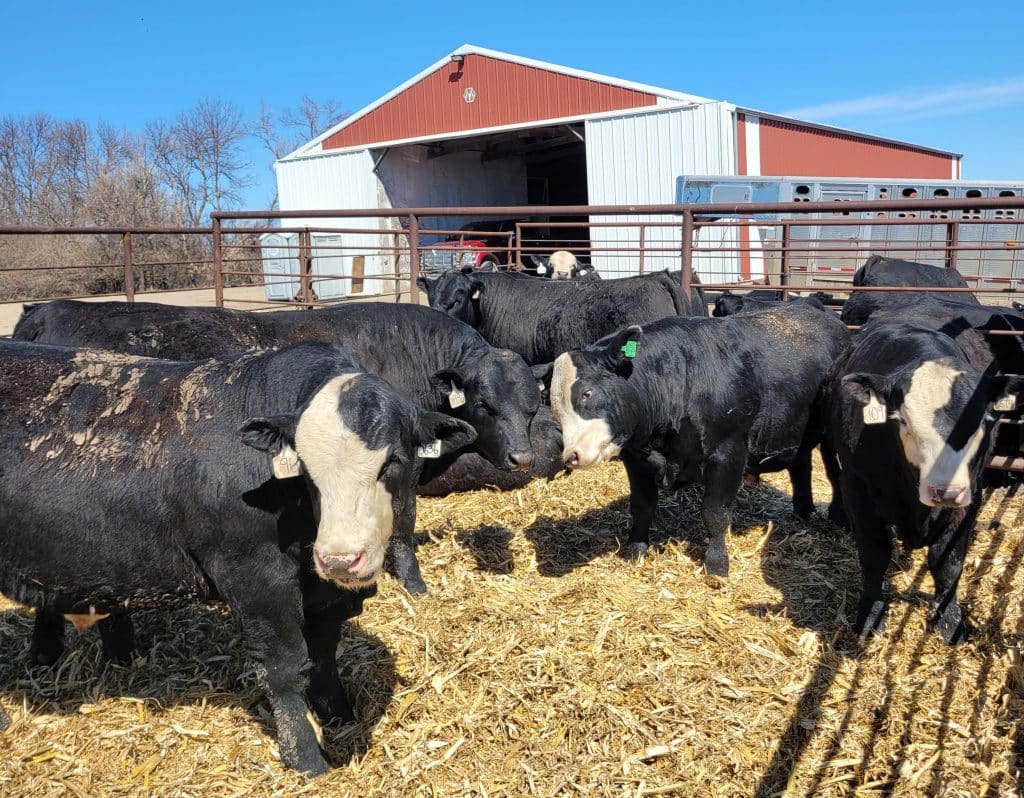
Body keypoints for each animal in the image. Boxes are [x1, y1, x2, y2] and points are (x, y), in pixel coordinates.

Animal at [0, 340, 475, 774]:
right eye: (306, 467)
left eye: (393, 461)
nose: (341, 560)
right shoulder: (256, 578)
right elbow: (285, 667)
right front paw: (306, 757)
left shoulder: (322, 592)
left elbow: (323, 655)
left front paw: (340, 716)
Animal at [14, 300, 544, 595]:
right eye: (482, 402)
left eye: (533, 403)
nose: (522, 457)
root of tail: (43, 310)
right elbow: (404, 520)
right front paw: (413, 581)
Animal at [547, 304, 851, 576]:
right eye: (554, 406)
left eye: (586, 393)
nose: (570, 456)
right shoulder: (636, 458)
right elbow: (642, 506)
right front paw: (635, 550)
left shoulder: (728, 454)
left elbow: (715, 513)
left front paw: (716, 565)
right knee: (801, 466)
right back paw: (803, 510)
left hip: (831, 440)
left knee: (835, 474)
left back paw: (838, 516)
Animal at [824, 308, 1020, 642]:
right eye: (902, 420)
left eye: (982, 419)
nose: (946, 492)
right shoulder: (857, 488)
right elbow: (874, 557)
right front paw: (870, 617)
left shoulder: (971, 494)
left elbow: (947, 562)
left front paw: (950, 621)